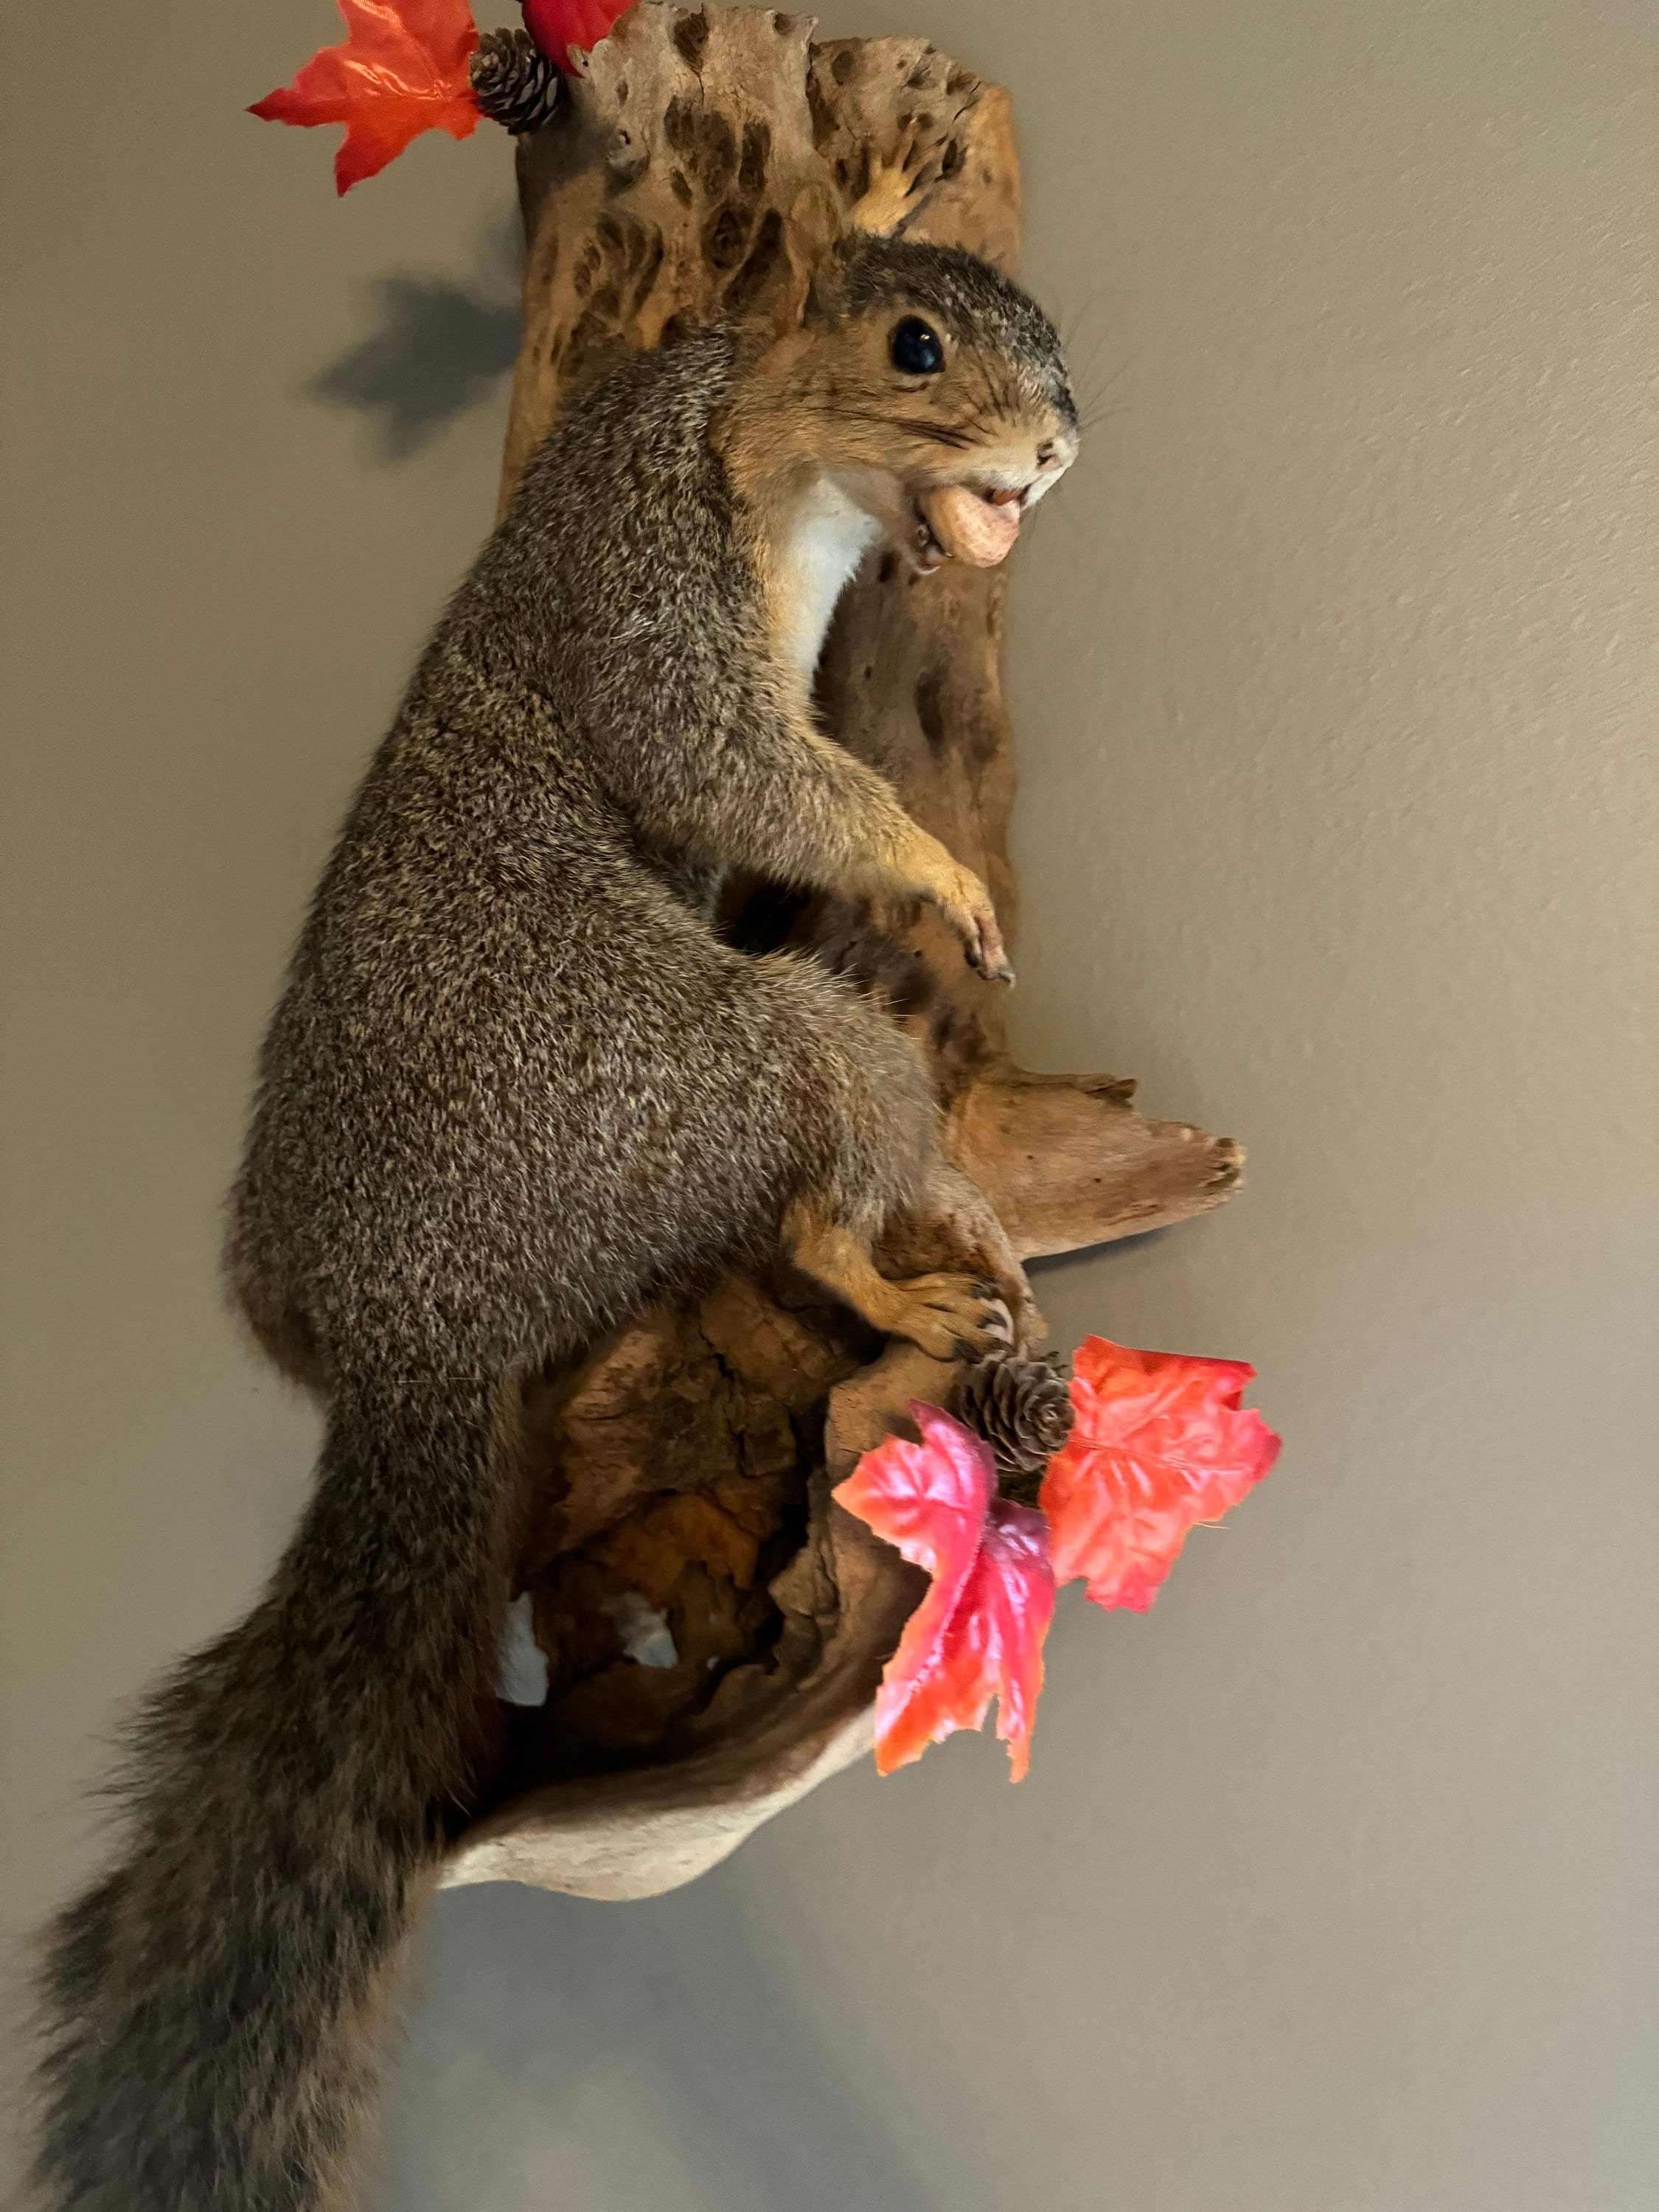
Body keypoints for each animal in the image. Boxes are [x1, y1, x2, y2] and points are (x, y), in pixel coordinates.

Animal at [30, 227, 1078, 2211]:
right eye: (916, 347)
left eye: (1056, 336)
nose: (1055, 448)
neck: (759, 430)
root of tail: (414, 1328)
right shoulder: (641, 578)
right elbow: (737, 772)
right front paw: (934, 866)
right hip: (692, 1060)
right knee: (811, 1196)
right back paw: (925, 1271)